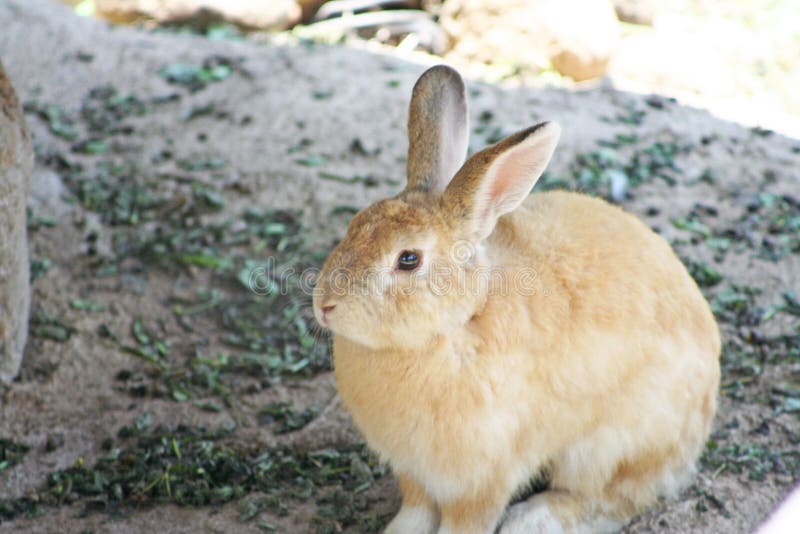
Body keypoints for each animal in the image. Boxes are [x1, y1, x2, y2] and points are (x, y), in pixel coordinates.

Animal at [312, 65, 720, 534]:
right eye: (354, 224)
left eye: (408, 259)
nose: (324, 305)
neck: (456, 327)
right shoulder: (414, 472)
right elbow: (414, 511)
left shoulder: (483, 477)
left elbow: (465, 523)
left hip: (610, 447)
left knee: (611, 499)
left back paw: (533, 517)